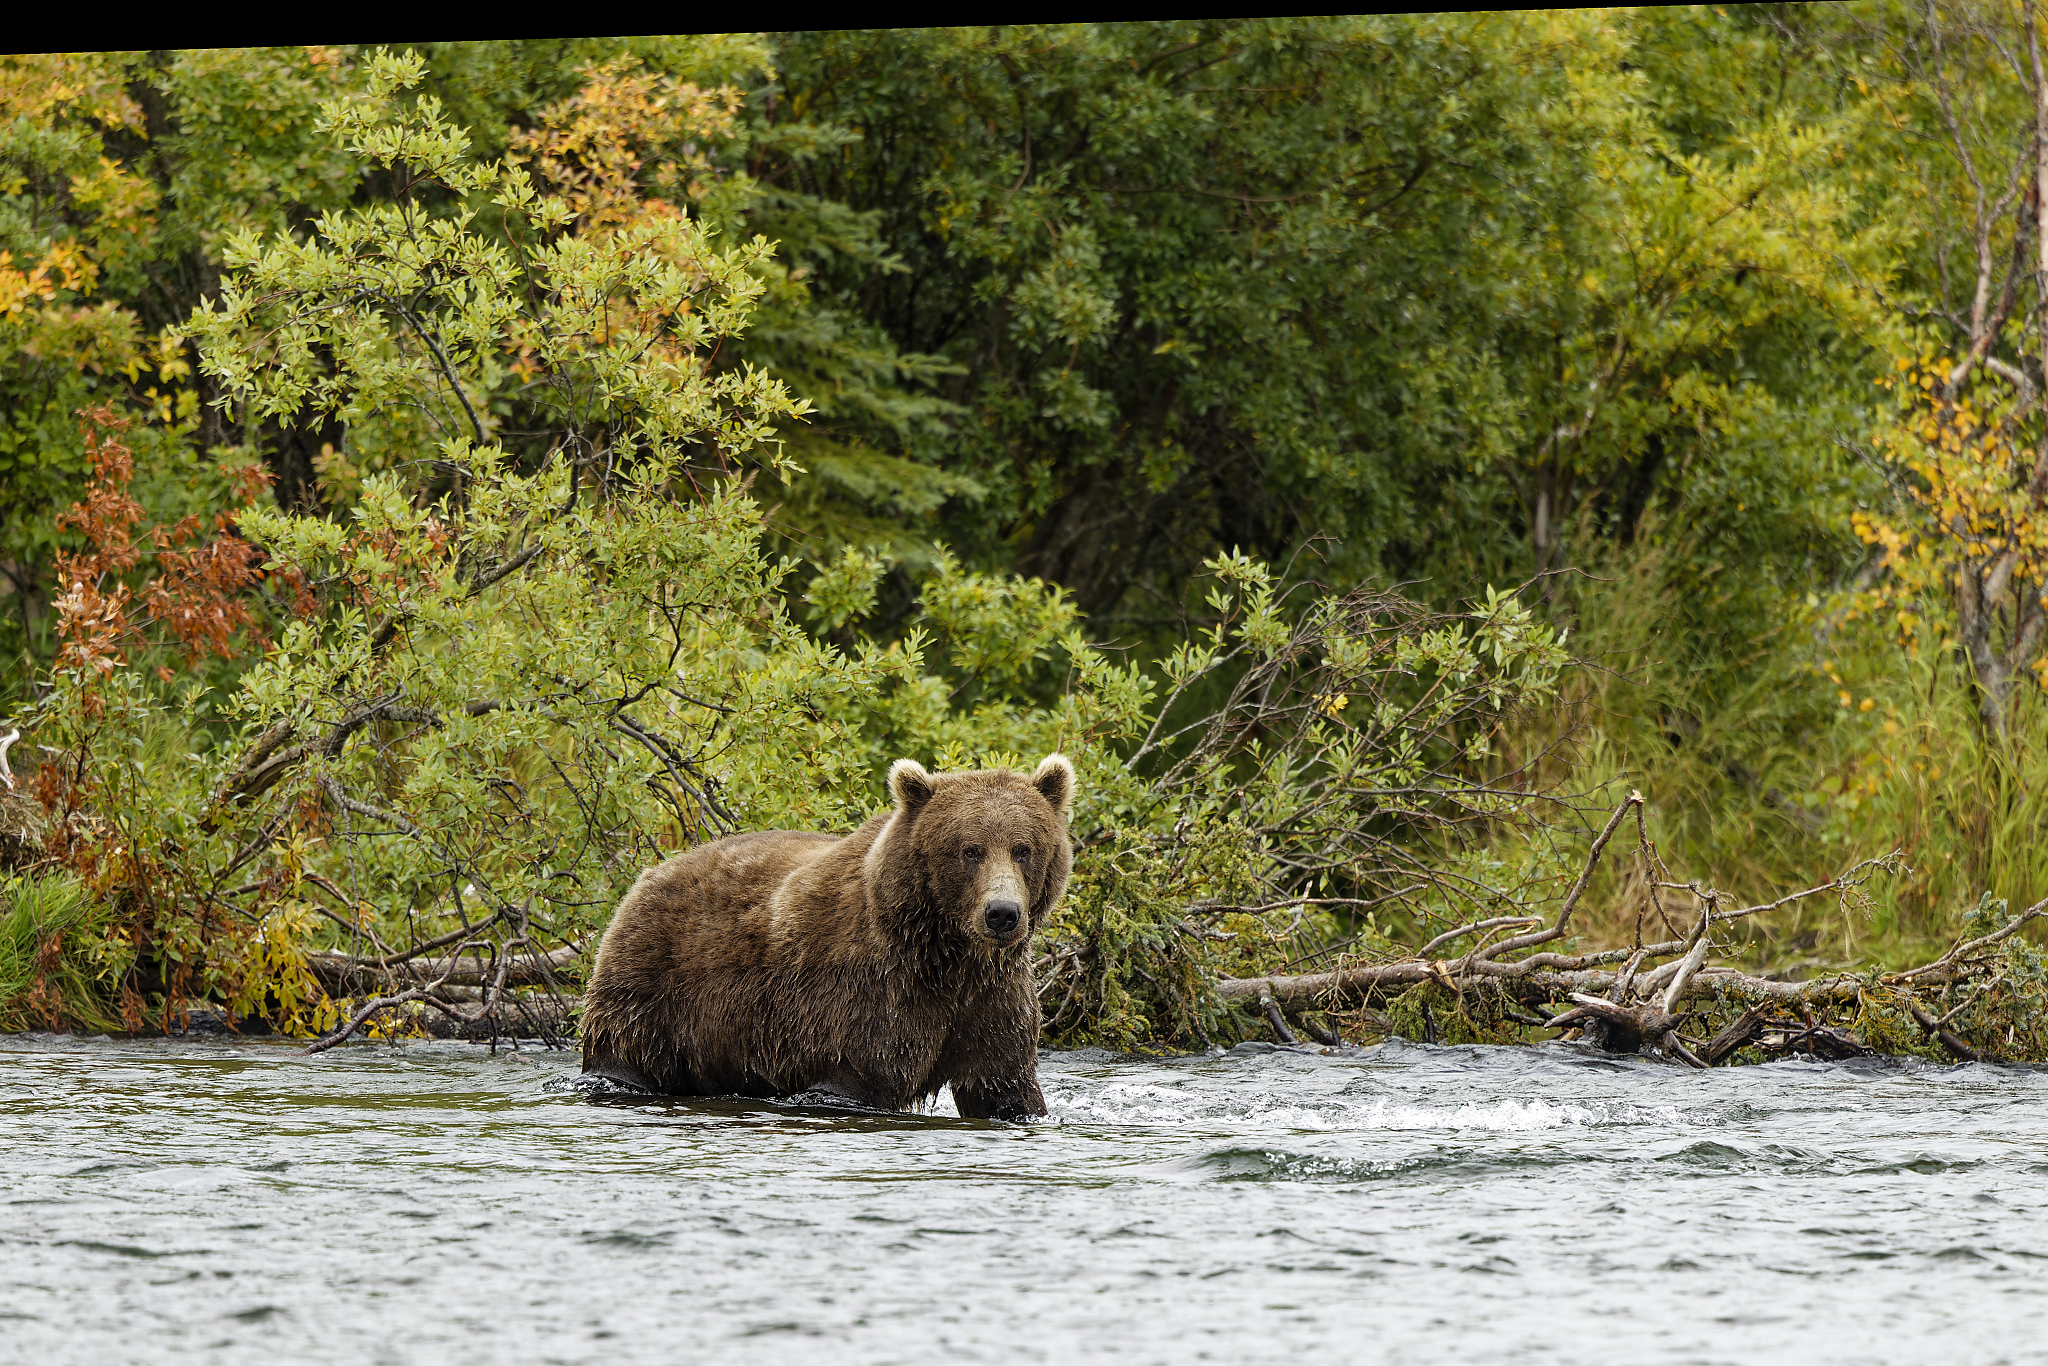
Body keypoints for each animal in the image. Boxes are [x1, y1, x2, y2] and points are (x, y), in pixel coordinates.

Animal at [577, 753, 1075, 1121]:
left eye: (1024, 848)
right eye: (969, 850)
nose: (1002, 914)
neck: (946, 953)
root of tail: (650, 872)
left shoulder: (992, 998)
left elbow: (1002, 1084)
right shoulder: (871, 993)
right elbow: (855, 1073)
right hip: (658, 983)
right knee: (627, 1054)